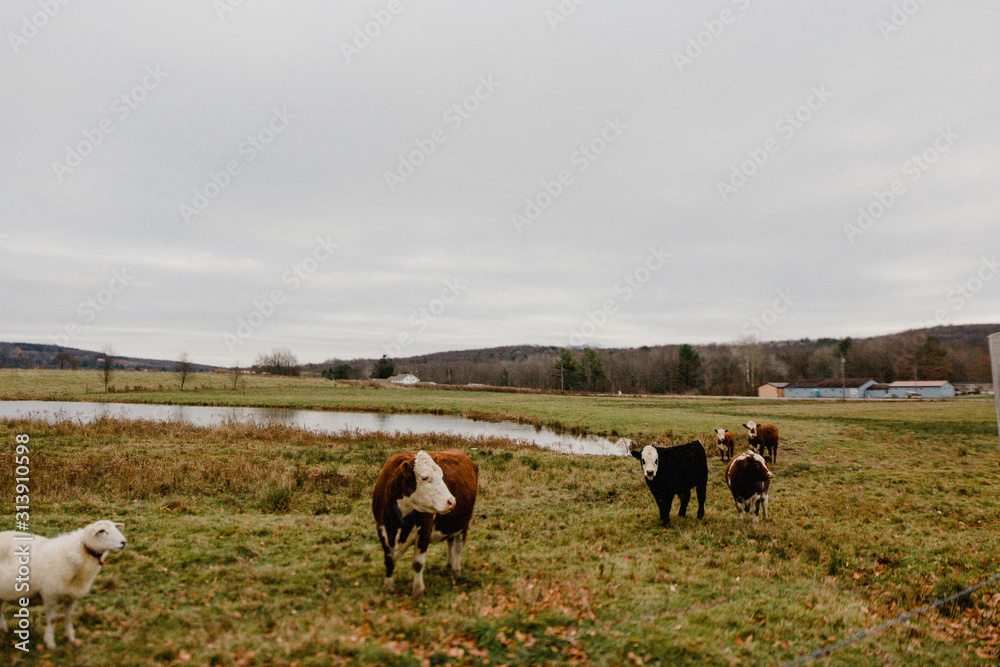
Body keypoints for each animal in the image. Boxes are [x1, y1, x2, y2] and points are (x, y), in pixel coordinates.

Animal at [372, 450, 478, 597]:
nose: (451, 501)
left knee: (458, 546)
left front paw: (418, 590)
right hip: (449, 524)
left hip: (464, 523)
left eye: (441, 475)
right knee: (450, 542)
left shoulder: (425, 530)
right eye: (424, 477)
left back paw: (456, 569)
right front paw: (388, 587)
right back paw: (449, 566)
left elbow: (418, 563)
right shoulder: (382, 529)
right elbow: (388, 561)